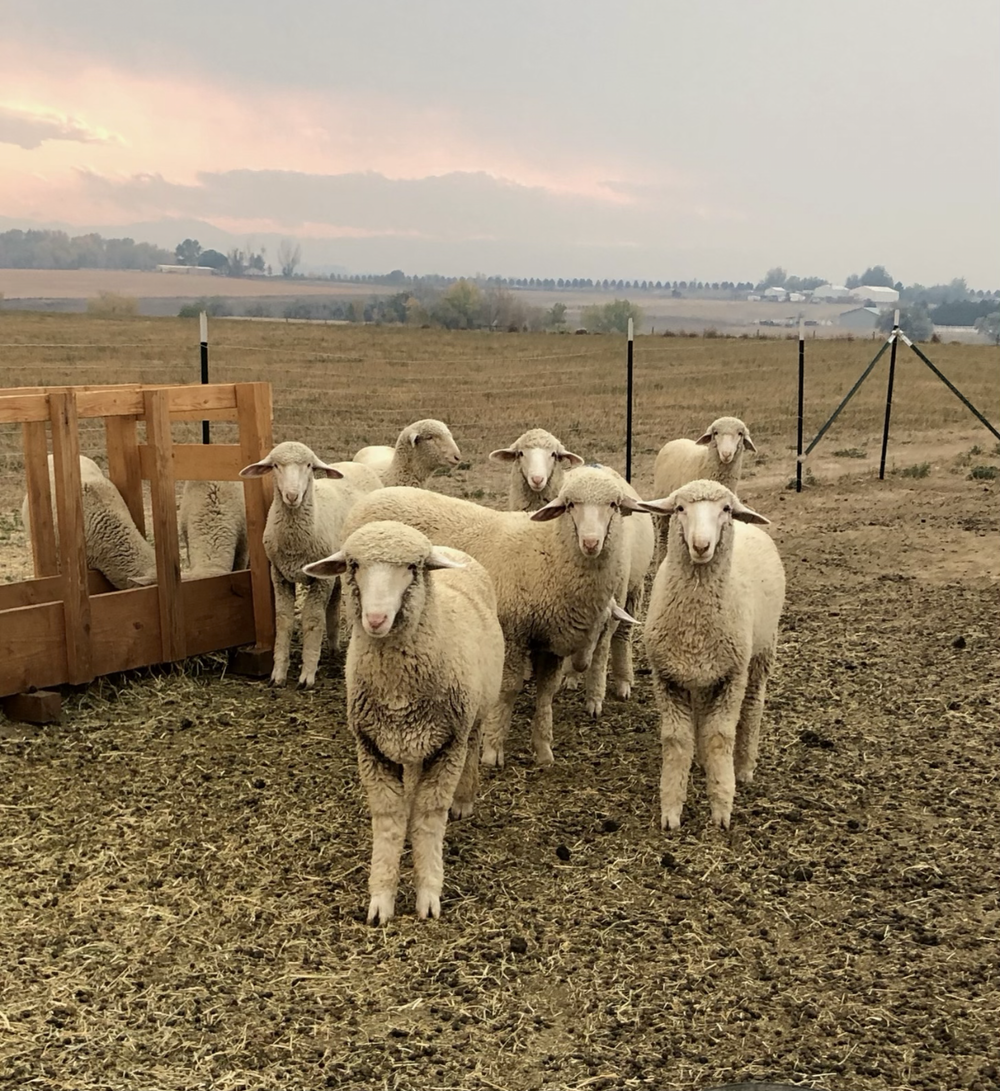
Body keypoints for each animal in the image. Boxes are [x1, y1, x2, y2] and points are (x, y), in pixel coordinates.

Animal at [239, 441, 382, 688]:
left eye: (308, 466)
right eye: (276, 466)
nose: (292, 495)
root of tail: (354, 464)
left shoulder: (318, 580)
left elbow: (312, 620)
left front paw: (307, 674)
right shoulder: (279, 575)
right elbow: (284, 621)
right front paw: (278, 674)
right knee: (335, 597)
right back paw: (333, 645)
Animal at [302, 520, 504, 924]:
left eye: (413, 567)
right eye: (353, 564)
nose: (376, 619)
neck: (398, 692)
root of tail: (448, 550)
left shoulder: (448, 745)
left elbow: (429, 817)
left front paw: (428, 893)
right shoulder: (372, 749)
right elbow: (389, 818)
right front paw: (381, 897)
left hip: (473, 716)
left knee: (473, 748)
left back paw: (464, 798)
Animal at [342, 466, 644, 768]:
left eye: (613, 505)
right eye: (570, 505)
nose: (591, 542)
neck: (550, 550)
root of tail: (371, 498)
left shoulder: (549, 642)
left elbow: (546, 692)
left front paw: (543, 750)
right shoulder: (512, 632)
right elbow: (508, 689)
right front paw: (493, 748)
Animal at [638, 479, 785, 832]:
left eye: (726, 509)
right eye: (680, 508)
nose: (701, 545)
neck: (696, 623)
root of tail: (750, 527)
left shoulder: (732, 675)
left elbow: (719, 736)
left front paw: (721, 809)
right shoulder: (667, 677)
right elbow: (677, 740)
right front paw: (671, 810)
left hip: (760, 654)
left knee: (753, 705)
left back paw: (743, 767)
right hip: (704, 674)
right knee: (702, 715)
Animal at [651, 416, 756, 564]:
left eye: (740, 434)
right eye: (715, 433)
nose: (726, 454)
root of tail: (675, 440)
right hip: (662, 510)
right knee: (662, 537)